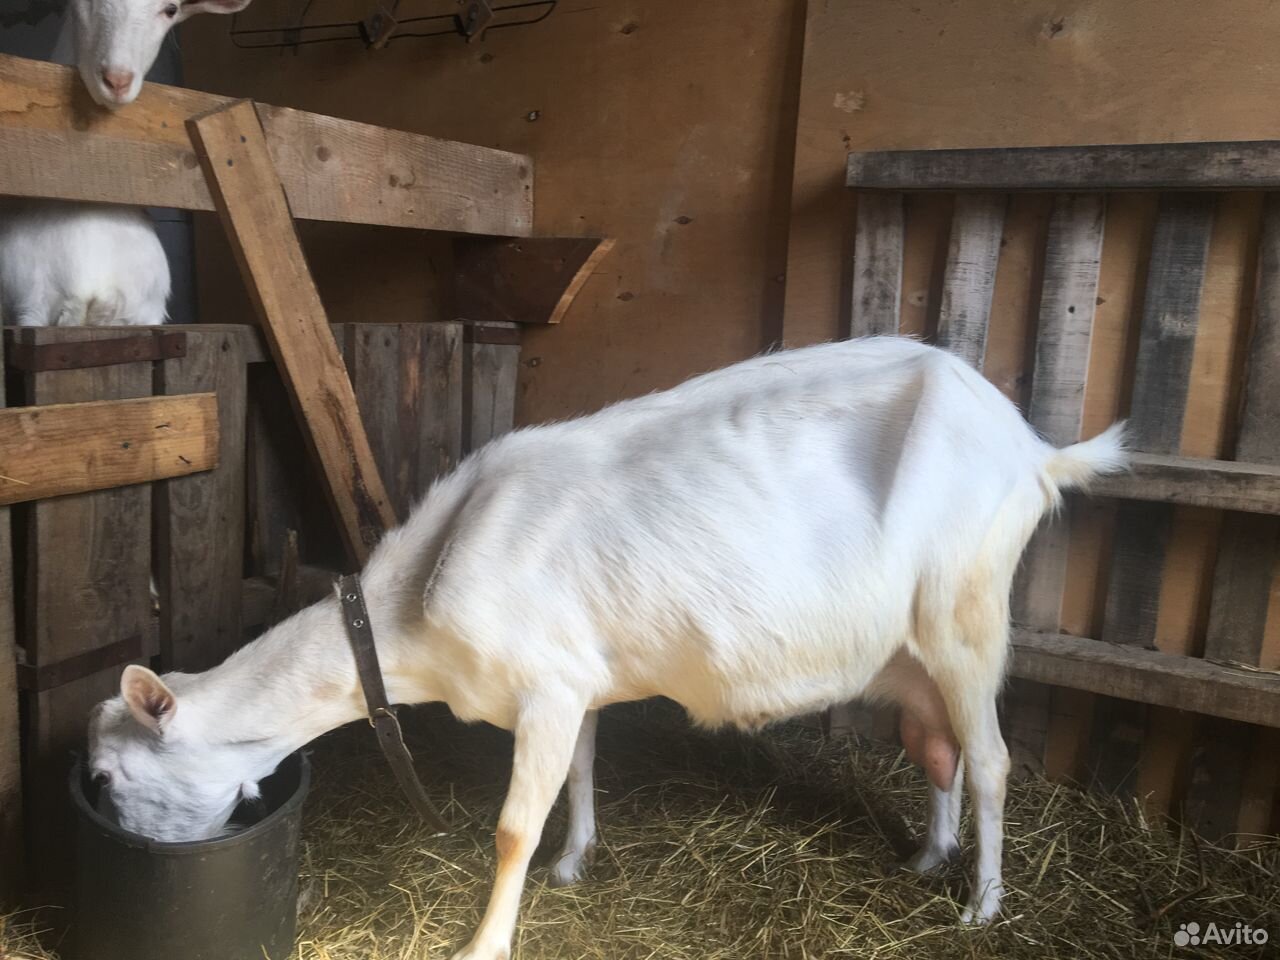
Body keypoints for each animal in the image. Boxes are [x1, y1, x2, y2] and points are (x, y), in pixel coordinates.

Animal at [89, 337, 1127, 960]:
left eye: (102, 776)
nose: (133, 856)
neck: (416, 600)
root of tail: (1032, 447)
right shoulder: (573, 681)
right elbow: (581, 775)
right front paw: (574, 863)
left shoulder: (547, 685)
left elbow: (512, 824)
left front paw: (485, 940)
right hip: (910, 651)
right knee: (938, 747)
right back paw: (929, 856)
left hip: (967, 610)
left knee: (991, 758)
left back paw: (982, 903)